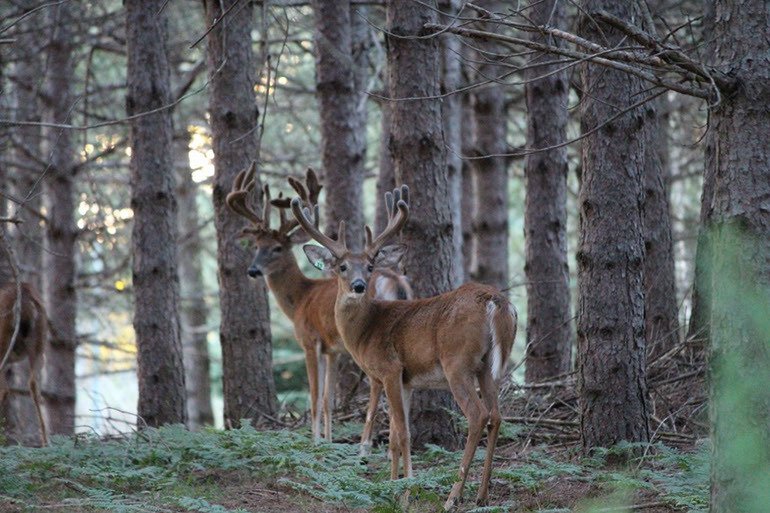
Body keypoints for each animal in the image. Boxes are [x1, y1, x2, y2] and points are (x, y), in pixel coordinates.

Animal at [226, 163, 411, 451]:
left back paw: (366, 443)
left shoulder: (309, 340)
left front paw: (314, 442)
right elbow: (327, 400)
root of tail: (394, 279)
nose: (253, 270)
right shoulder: (332, 350)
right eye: (257, 246)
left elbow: (314, 397)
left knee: (377, 382)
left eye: (277, 248)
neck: (301, 299)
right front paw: (328, 440)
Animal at [291, 185, 517, 510]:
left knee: (478, 415)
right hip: (487, 366)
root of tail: (495, 300)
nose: (359, 285)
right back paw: (482, 495)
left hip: (457, 363)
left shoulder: (389, 369)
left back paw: (453, 497)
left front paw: (405, 493)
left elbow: (404, 433)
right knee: (497, 416)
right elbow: (396, 436)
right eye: (342, 266)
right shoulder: (407, 381)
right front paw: (393, 485)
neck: (366, 330)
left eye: (370, 266)